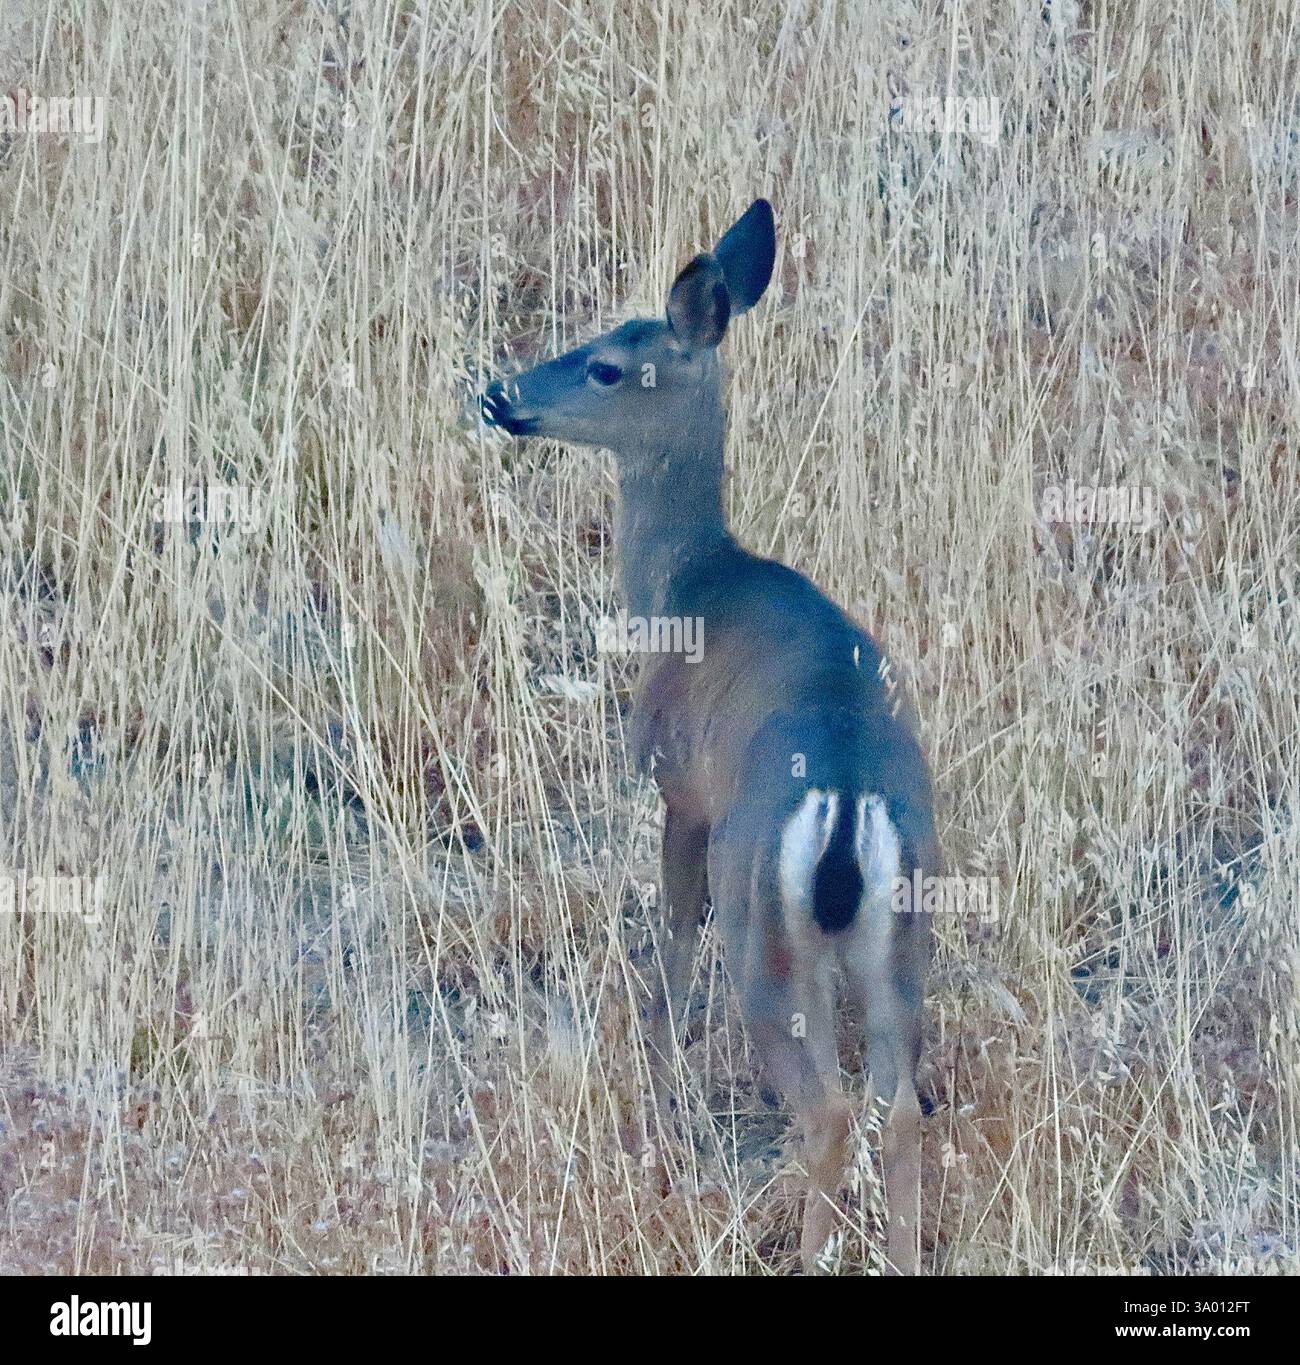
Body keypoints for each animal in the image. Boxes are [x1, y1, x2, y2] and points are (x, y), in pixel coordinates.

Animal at [481, 199, 939, 1274]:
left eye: (607, 364)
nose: (498, 393)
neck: (685, 582)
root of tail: (847, 801)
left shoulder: (678, 785)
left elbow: (670, 948)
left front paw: (655, 1091)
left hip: (760, 915)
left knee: (828, 1107)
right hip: (903, 931)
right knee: (900, 1105)